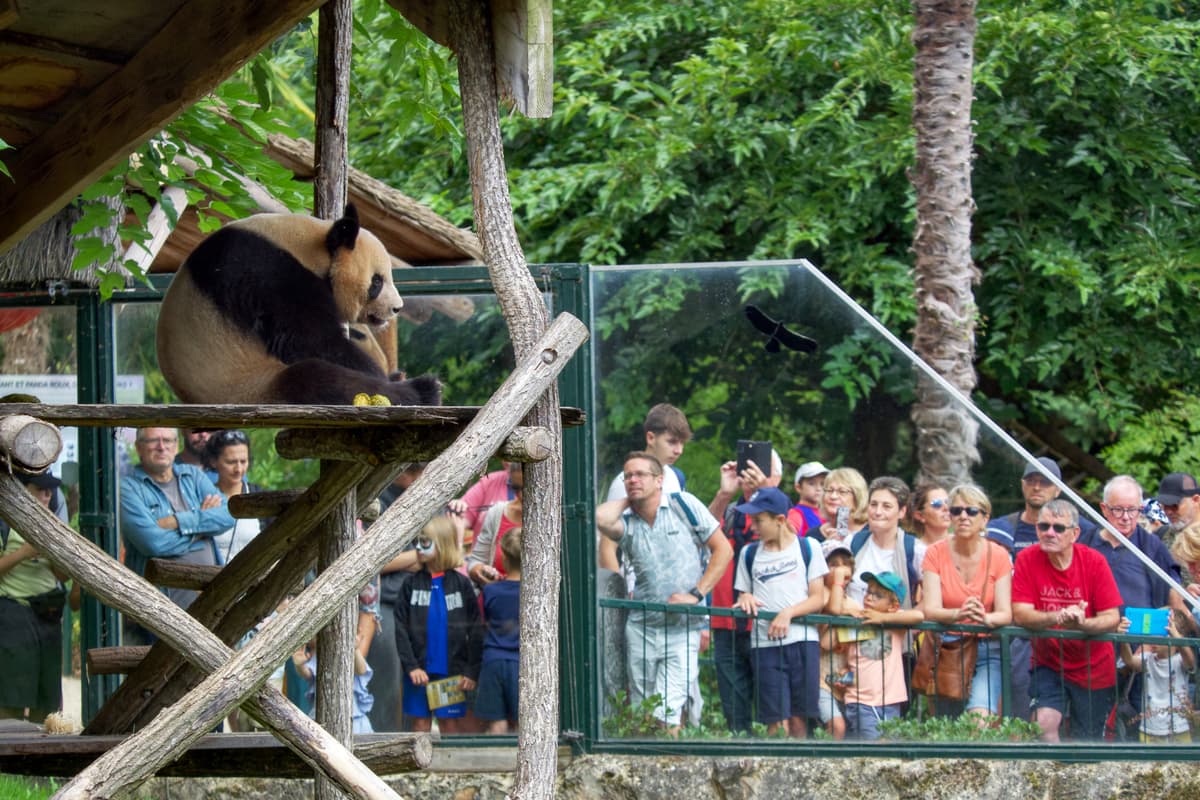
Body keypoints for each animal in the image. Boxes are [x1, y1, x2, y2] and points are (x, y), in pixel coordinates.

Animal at [157, 205, 441, 406]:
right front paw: (379, 374)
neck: (309, 246)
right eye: (377, 281)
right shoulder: (269, 274)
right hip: (245, 385)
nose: (397, 308)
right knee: (316, 379)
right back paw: (422, 390)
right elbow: (309, 340)